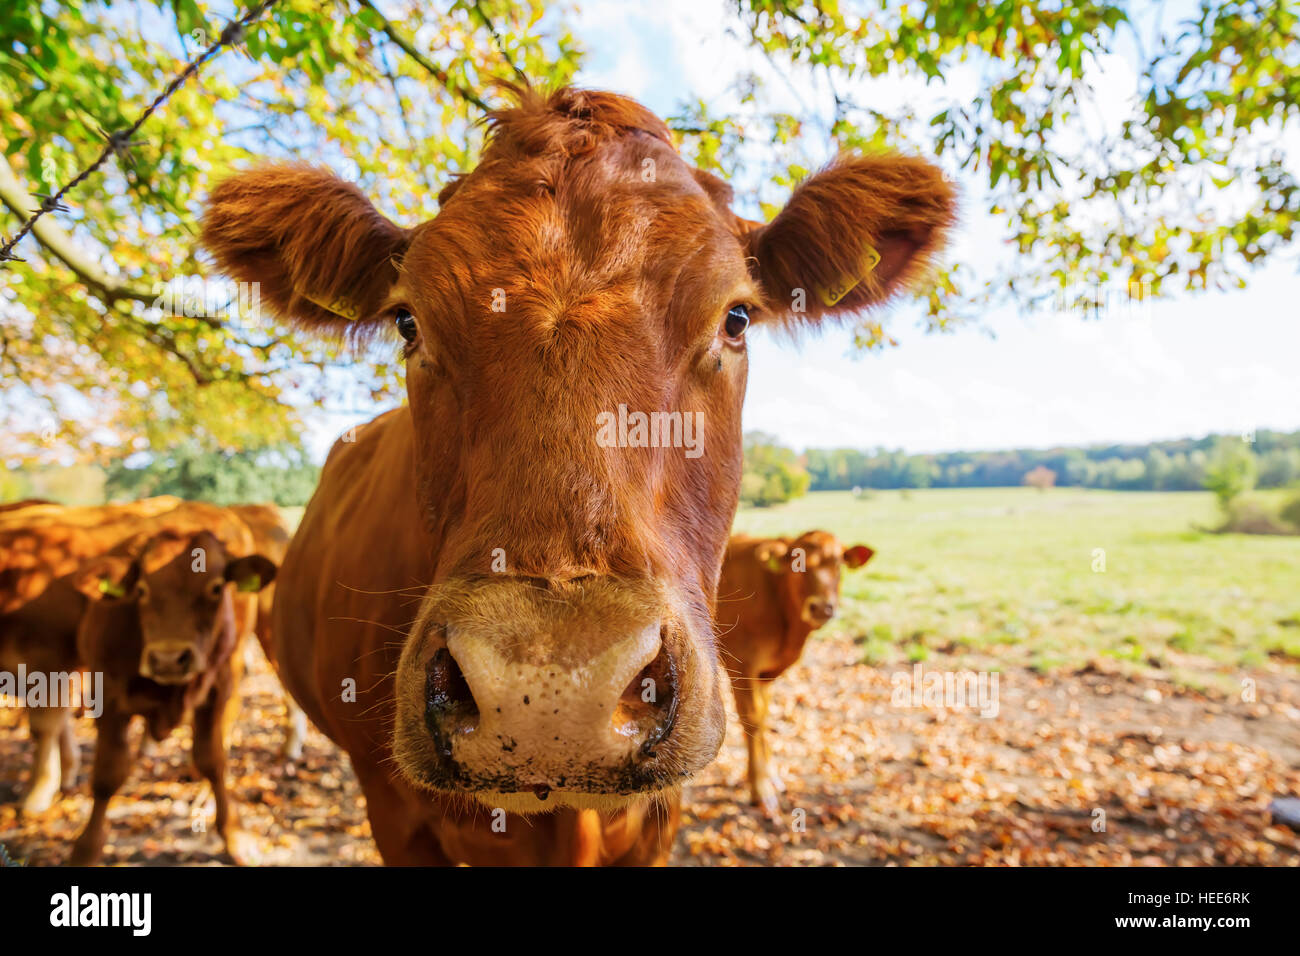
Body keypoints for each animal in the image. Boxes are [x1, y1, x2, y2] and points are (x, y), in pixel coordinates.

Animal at [66, 518, 276, 865]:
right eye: (141, 590)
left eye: (216, 588)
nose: (168, 658)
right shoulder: (107, 696)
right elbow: (107, 776)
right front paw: (86, 850)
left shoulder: (217, 689)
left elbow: (212, 760)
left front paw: (235, 835)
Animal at [715, 531, 875, 817]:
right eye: (798, 565)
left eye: (839, 564)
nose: (821, 608)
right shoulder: (741, 666)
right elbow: (752, 719)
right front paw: (761, 789)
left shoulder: (764, 673)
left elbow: (764, 716)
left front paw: (771, 775)